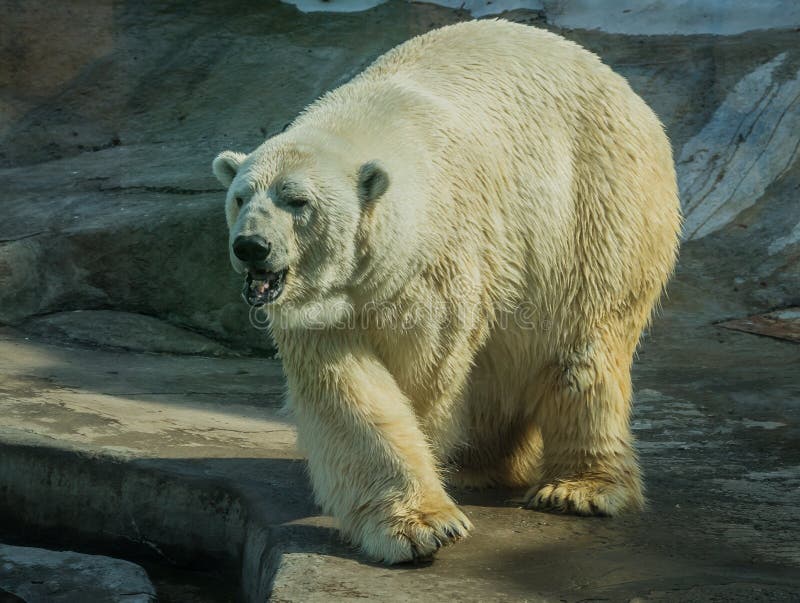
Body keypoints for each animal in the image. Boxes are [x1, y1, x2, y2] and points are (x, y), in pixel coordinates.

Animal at [212, 19, 681, 564]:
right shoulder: (321, 304)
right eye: (240, 197)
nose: (251, 246)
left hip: (596, 213)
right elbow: (347, 387)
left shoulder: (438, 263)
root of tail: (624, 88)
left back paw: (578, 488)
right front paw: (419, 525)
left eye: (297, 201)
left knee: (581, 347)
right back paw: (486, 461)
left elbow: (424, 371)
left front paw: (427, 523)